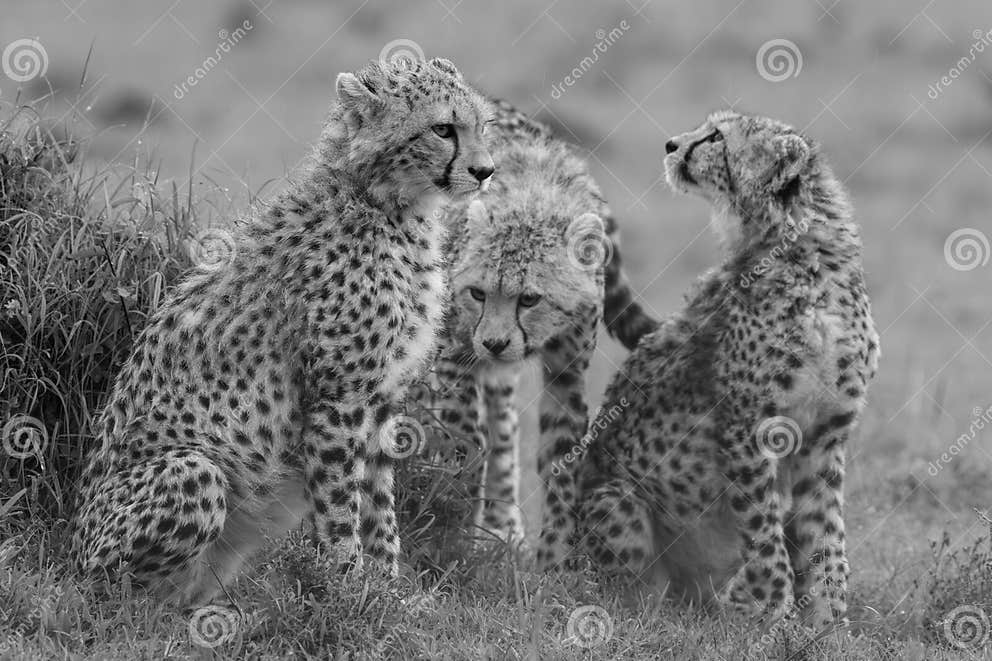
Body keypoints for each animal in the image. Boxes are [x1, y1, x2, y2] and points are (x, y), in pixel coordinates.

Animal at [67, 56, 494, 607]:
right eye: (443, 129)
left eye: (482, 126)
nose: (485, 171)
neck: (385, 204)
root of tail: (74, 552)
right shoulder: (338, 402)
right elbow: (340, 506)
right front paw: (345, 590)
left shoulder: (380, 401)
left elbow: (378, 505)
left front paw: (389, 593)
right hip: (193, 473)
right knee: (119, 598)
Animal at [409, 100, 656, 564]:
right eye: (478, 293)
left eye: (529, 299)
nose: (494, 342)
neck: (532, 202)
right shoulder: (455, 353)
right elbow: (467, 438)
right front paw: (454, 526)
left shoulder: (567, 370)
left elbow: (560, 456)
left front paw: (555, 561)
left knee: (505, 430)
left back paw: (505, 528)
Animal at [571, 110, 879, 630]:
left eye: (716, 137)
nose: (671, 144)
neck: (807, 259)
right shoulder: (750, 429)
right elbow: (764, 532)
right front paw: (772, 615)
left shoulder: (825, 437)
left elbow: (827, 537)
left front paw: (830, 625)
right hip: (614, 500)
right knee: (623, 593)